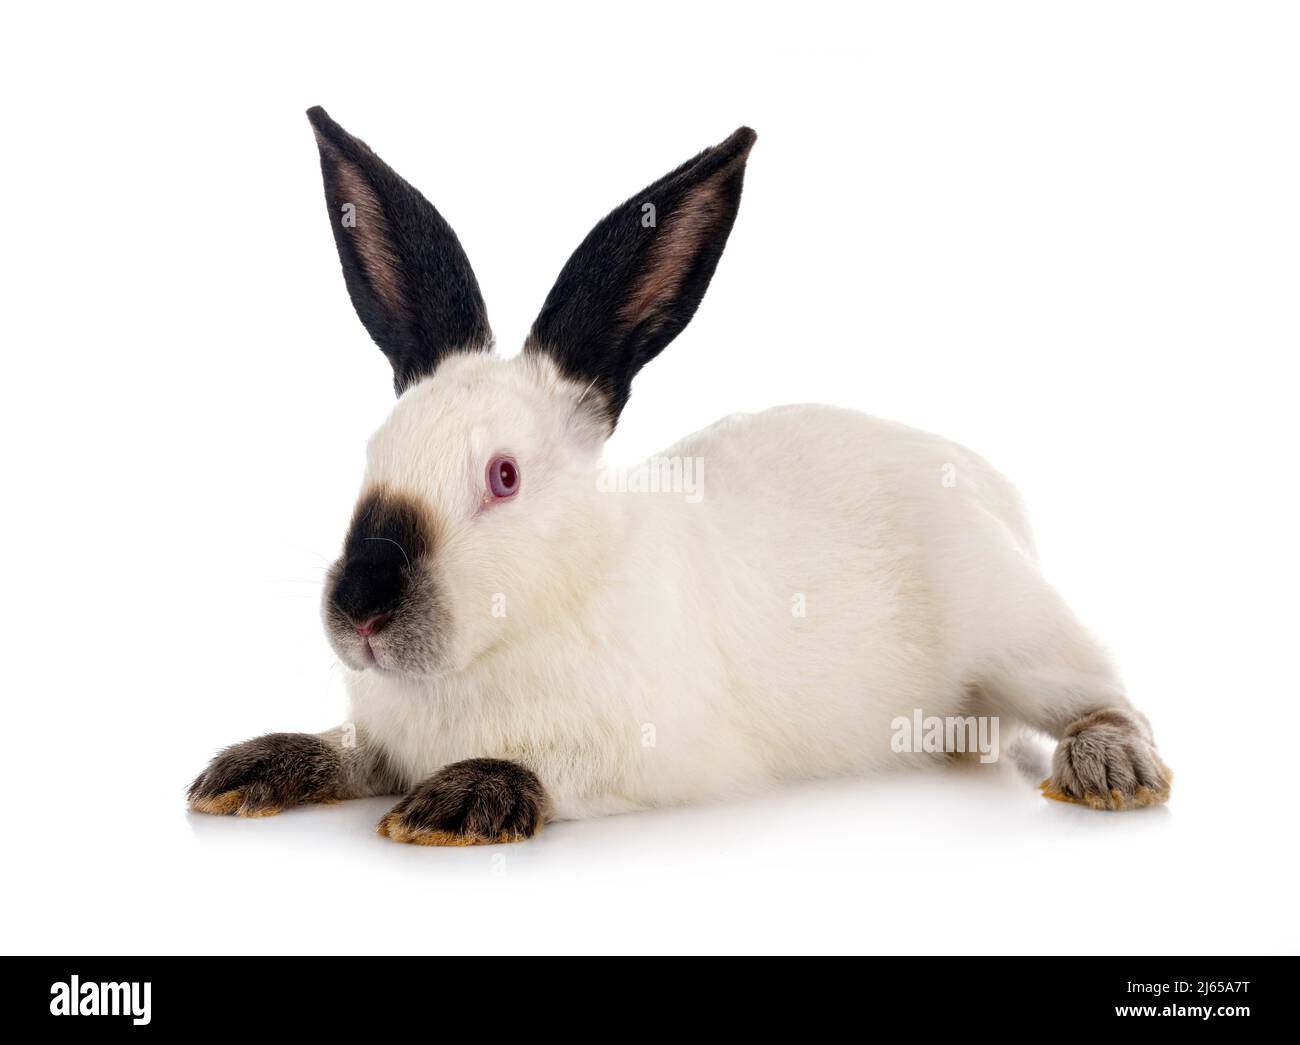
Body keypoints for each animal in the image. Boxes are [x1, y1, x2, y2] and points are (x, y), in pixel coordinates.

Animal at [188, 106, 1171, 844]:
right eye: (373, 451)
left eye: (504, 476)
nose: (362, 610)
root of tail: (989, 485)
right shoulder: (383, 735)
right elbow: (351, 749)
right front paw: (249, 771)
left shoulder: (650, 751)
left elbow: (547, 767)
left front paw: (454, 803)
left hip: (1013, 632)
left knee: (1102, 692)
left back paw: (1112, 772)